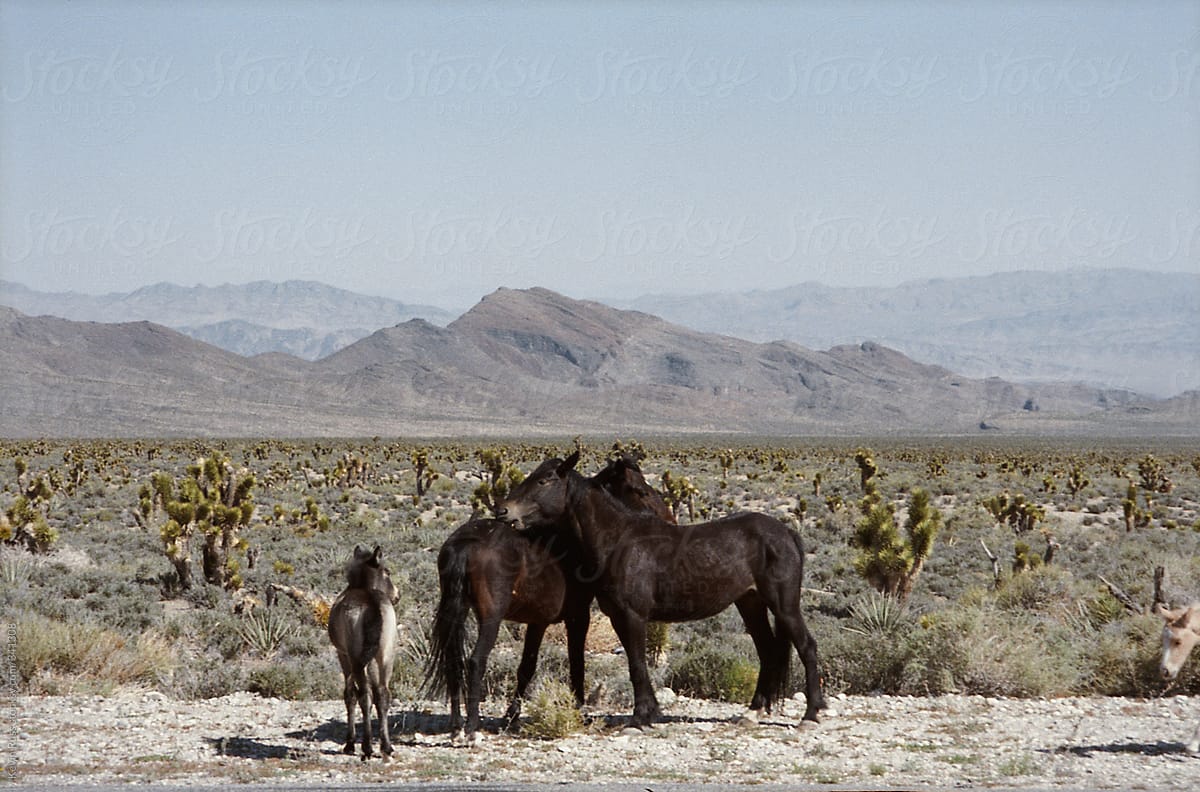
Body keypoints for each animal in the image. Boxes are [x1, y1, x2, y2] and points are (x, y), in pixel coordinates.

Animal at [328, 545, 400, 758]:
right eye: (388, 572)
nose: (397, 595)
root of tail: (372, 604)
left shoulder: (342, 655)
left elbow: (349, 695)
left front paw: (350, 743)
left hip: (356, 658)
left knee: (364, 695)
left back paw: (366, 747)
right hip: (386, 656)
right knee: (382, 694)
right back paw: (386, 746)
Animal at [424, 454, 674, 744]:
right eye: (640, 490)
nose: (668, 519)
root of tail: (466, 542)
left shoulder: (538, 621)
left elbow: (527, 667)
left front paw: (511, 717)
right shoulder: (578, 617)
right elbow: (577, 663)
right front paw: (578, 711)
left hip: (458, 611)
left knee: (452, 659)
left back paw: (455, 725)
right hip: (490, 617)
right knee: (476, 661)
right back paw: (471, 727)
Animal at [496, 451, 825, 729]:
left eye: (543, 480)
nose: (502, 510)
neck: (619, 540)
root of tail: (786, 532)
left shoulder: (632, 616)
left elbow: (637, 664)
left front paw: (640, 717)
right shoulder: (619, 617)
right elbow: (636, 663)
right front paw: (650, 712)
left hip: (783, 604)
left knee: (806, 646)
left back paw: (811, 715)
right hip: (751, 602)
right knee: (768, 650)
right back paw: (753, 713)